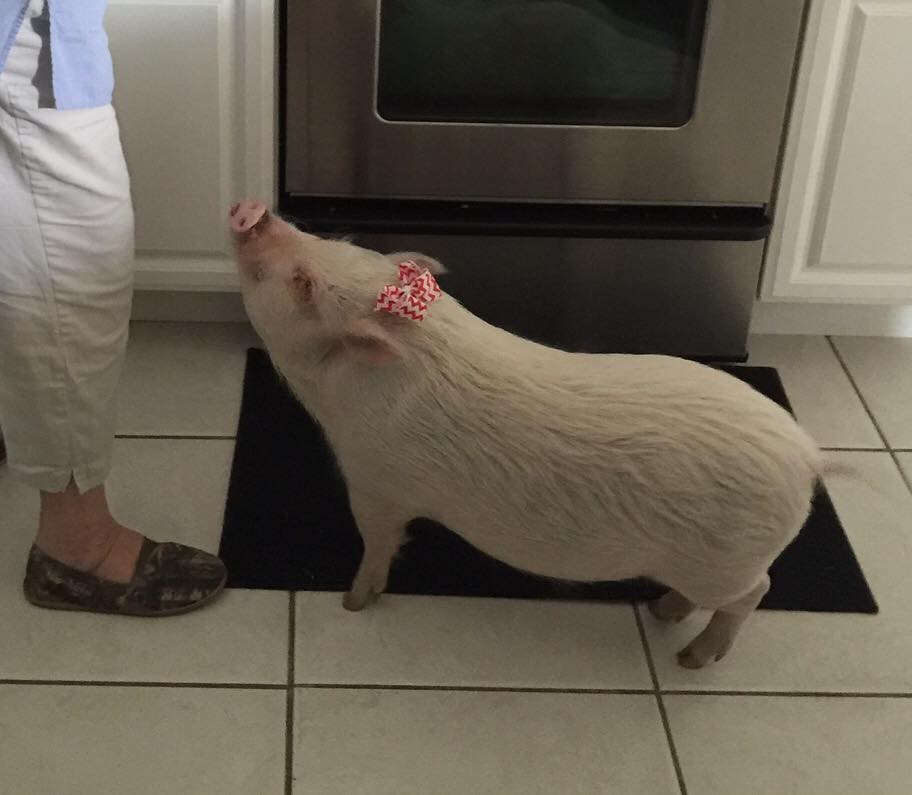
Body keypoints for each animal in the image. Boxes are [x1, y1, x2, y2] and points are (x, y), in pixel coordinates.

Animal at [228, 200, 825, 669]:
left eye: (304, 284)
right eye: (337, 240)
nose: (253, 211)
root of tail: (808, 456)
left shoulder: (374, 481)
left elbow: (379, 541)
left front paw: (353, 604)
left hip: (727, 561)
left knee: (756, 592)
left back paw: (691, 658)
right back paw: (662, 611)